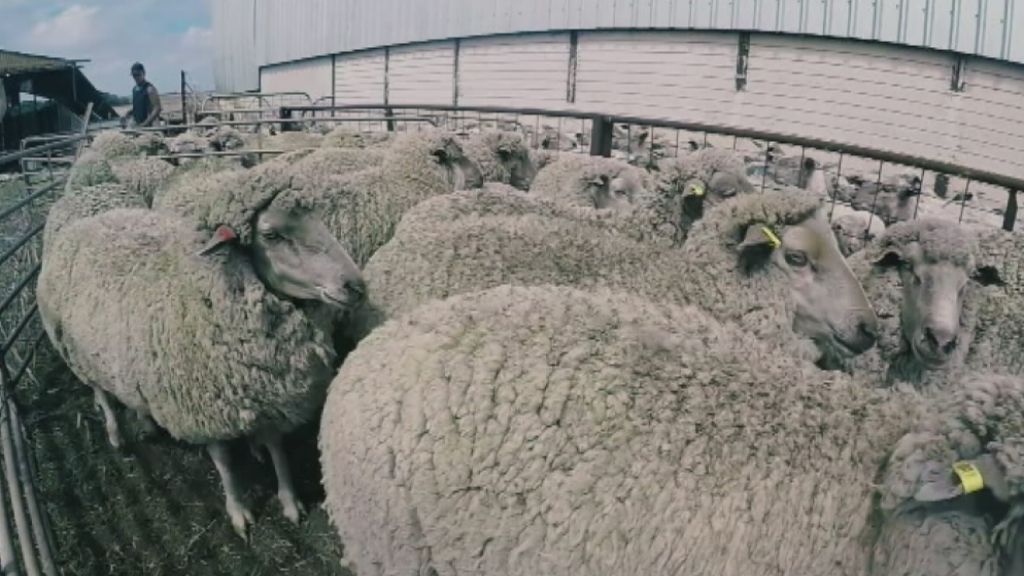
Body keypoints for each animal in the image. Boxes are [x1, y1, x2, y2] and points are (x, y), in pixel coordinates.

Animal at [37, 168, 367, 541]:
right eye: (271, 234)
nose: (355, 286)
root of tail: (85, 223)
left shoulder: (267, 397)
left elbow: (277, 449)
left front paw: (289, 500)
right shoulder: (204, 411)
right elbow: (224, 464)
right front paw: (238, 512)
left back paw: (146, 421)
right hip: (77, 354)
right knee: (102, 394)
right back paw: (115, 434)